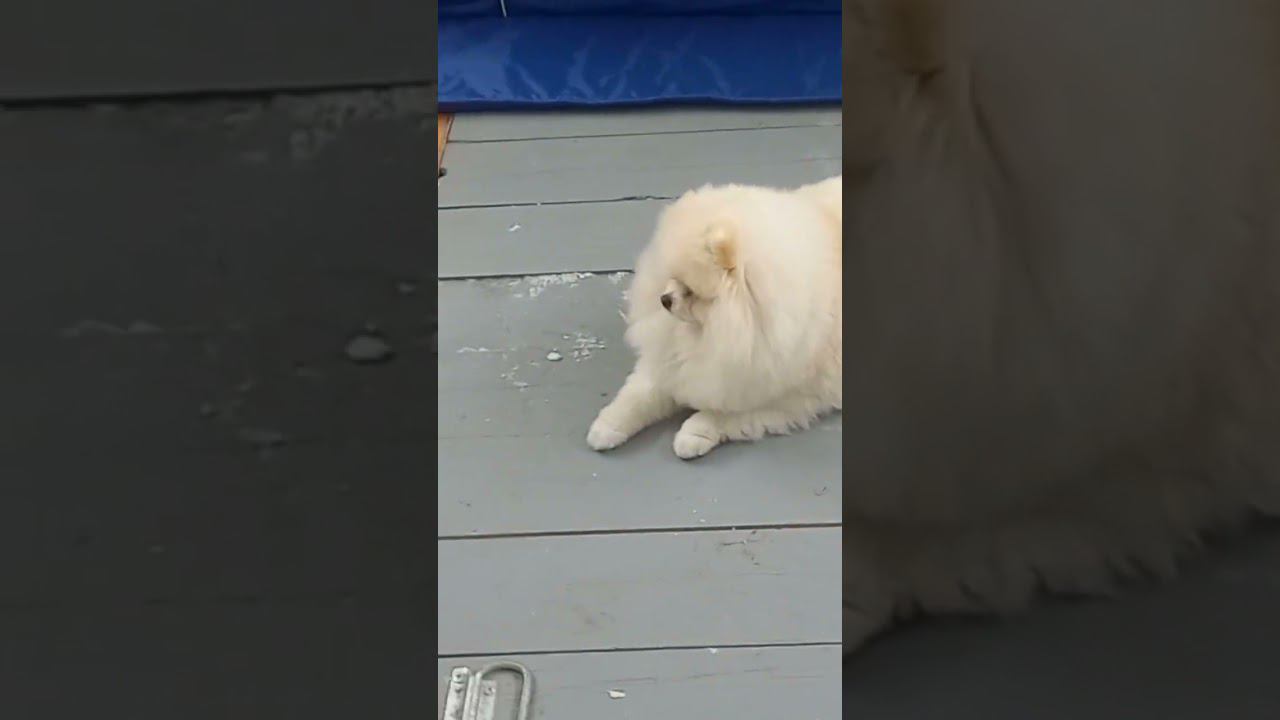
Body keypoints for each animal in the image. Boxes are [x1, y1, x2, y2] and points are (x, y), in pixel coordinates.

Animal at [587, 176, 842, 459]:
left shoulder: (782, 394)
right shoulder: (671, 364)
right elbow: (639, 395)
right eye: (671, 277)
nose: (664, 299)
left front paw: (693, 434)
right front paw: (607, 427)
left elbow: (722, 414)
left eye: (691, 292)